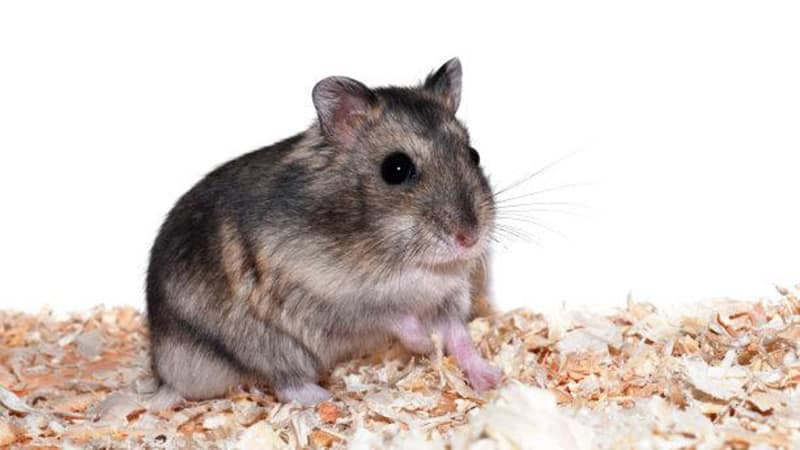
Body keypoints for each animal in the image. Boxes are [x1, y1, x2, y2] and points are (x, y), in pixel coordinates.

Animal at [146, 58, 501, 406]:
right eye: (396, 168)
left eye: (474, 155)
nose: (469, 238)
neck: (416, 263)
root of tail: (166, 378)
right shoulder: (335, 296)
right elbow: (396, 317)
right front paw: (425, 343)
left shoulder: (448, 296)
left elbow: (459, 336)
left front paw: (490, 379)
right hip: (267, 345)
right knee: (287, 385)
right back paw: (330, 398)